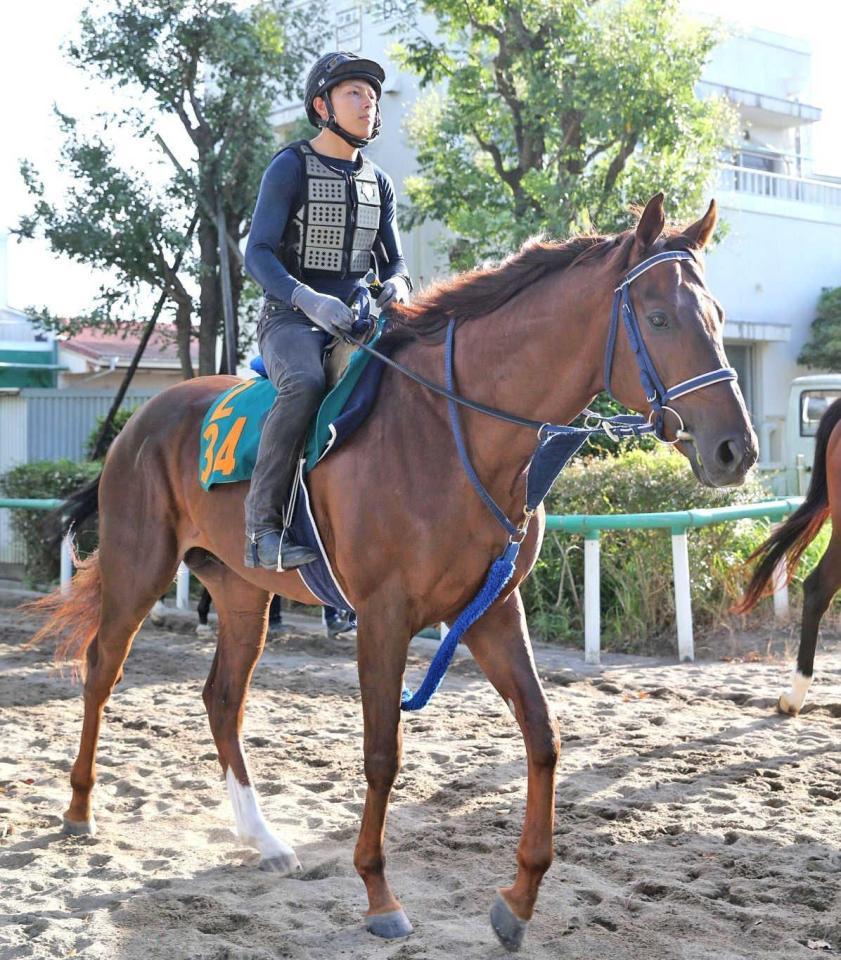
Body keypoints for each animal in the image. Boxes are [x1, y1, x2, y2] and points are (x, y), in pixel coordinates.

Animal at [27, 194, 756, 951]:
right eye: (659, 317)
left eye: (717, 316)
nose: (735, 448)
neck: (452, 429)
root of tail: (143, 419)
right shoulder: (383, 615)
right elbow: (383, 753)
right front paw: (378, 895)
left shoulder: (491, 611)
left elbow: (543, 736)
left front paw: (518, 898)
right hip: (138, 571)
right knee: (101, 669)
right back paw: (79, 809)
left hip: (242, 594)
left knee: (222, 699)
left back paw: (264, 839)